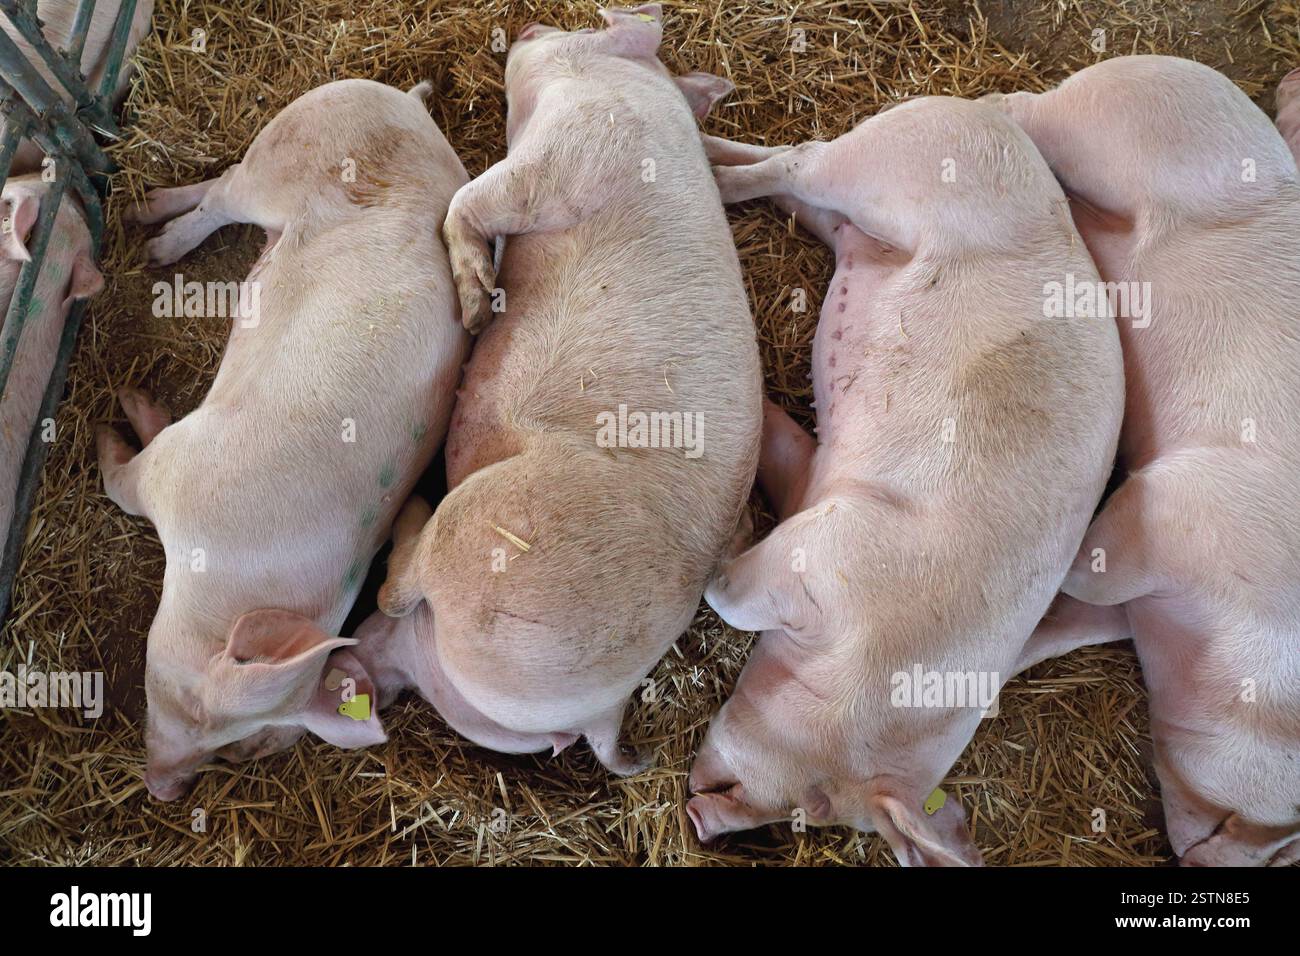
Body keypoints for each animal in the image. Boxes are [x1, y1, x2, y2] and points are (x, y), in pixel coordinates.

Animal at [101, 79, 470, 800]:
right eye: (191, 704)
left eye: (230, 746)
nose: (164, 790)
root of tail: (407, 105)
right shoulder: (172, 472)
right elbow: (120, 481)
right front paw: (115, 414)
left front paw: (131, 406)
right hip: (285, 154)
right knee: (223, 190)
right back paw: (152, 237)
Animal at [348, 6, 761, 775]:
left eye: (579, 26)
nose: (529, 25)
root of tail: (605, 709)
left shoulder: (563, 156)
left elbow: (468, 200)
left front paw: (477, 307)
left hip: (489, 530)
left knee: (398, 590)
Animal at [685, 98, 1125, 865]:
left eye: (812, 812)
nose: (699, 822)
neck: (876, 658)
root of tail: (992, 121)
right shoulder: (830, 551)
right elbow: (736, 599)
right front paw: (717, 566)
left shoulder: (814, 485)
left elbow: (784, 444)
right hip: (888, 165)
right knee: (800, 158)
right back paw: (713, 169)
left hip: (855, 216)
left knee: (797, 175)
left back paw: (707, 149)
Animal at [994, 56, 1300, 866]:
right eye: (1231, 822)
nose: (1189, 857)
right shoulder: (1179, 505)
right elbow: (1092, 568)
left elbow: (1077, 626)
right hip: (1118, 123)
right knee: (1030, 109)